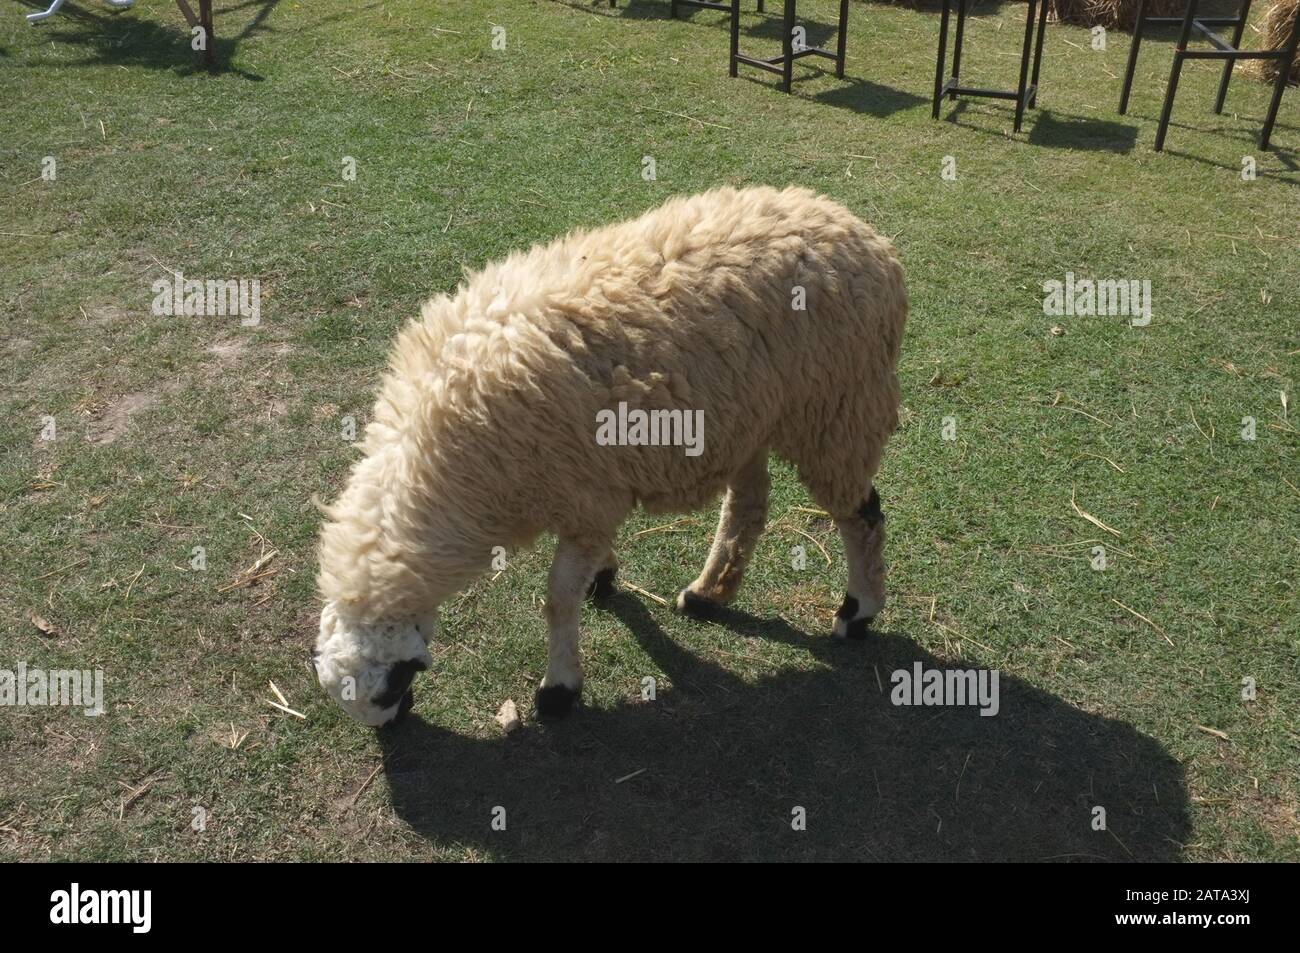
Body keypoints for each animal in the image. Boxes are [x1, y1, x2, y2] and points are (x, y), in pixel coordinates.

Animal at [312, 185, 907, 726]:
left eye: (389, 687)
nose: (395, 730)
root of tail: (868, 238)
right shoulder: (590, 491)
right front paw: (605, 576)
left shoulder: (585, 496)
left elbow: (558, 599)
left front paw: (558, 690)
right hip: (753, 419)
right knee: (748, 506)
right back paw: (708, 594)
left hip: (837, 406)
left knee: (862, 515)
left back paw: (856, 613)